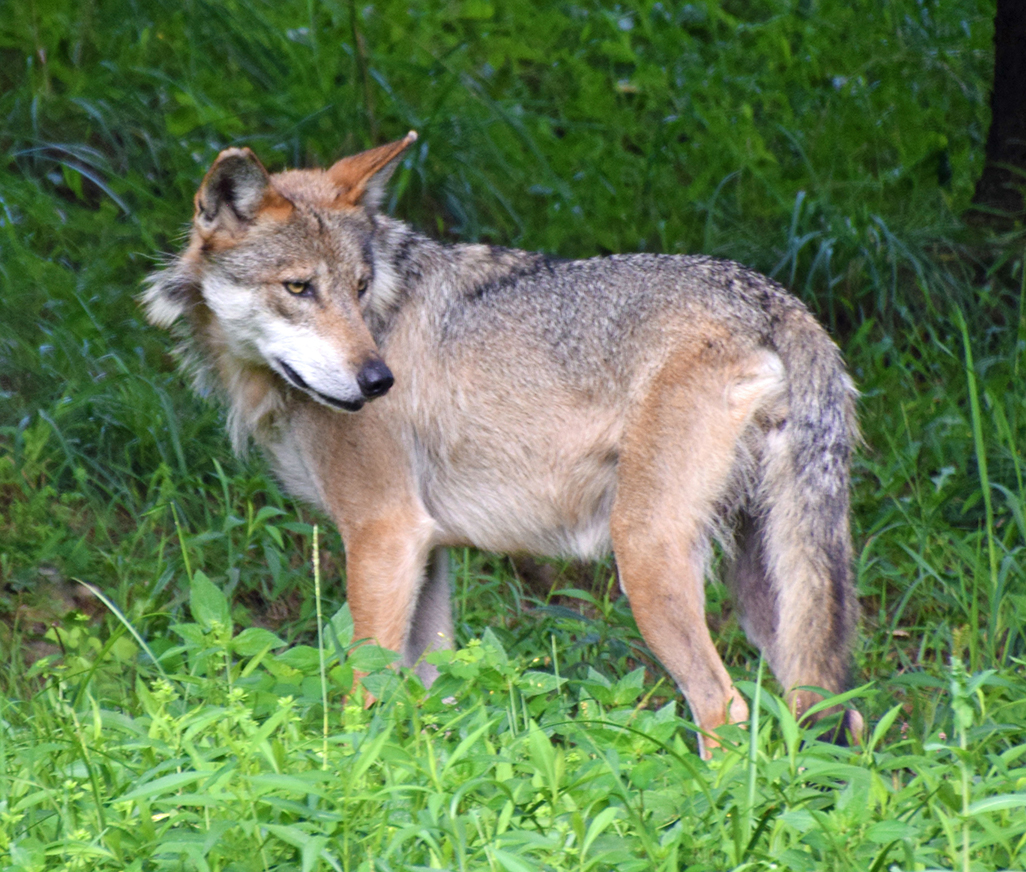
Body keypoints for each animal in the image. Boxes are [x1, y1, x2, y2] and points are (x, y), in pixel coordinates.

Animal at [144, 132, 862, 755]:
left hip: (647, 561)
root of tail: (774, 300)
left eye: (357, 288)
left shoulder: (382, 535)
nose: (378, 380)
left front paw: (344, 772)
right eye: (299, 288)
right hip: (770, 597)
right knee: (841, 715)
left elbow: (362, 695)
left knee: (725, 707)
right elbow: (433, 692)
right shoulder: (425, 548)